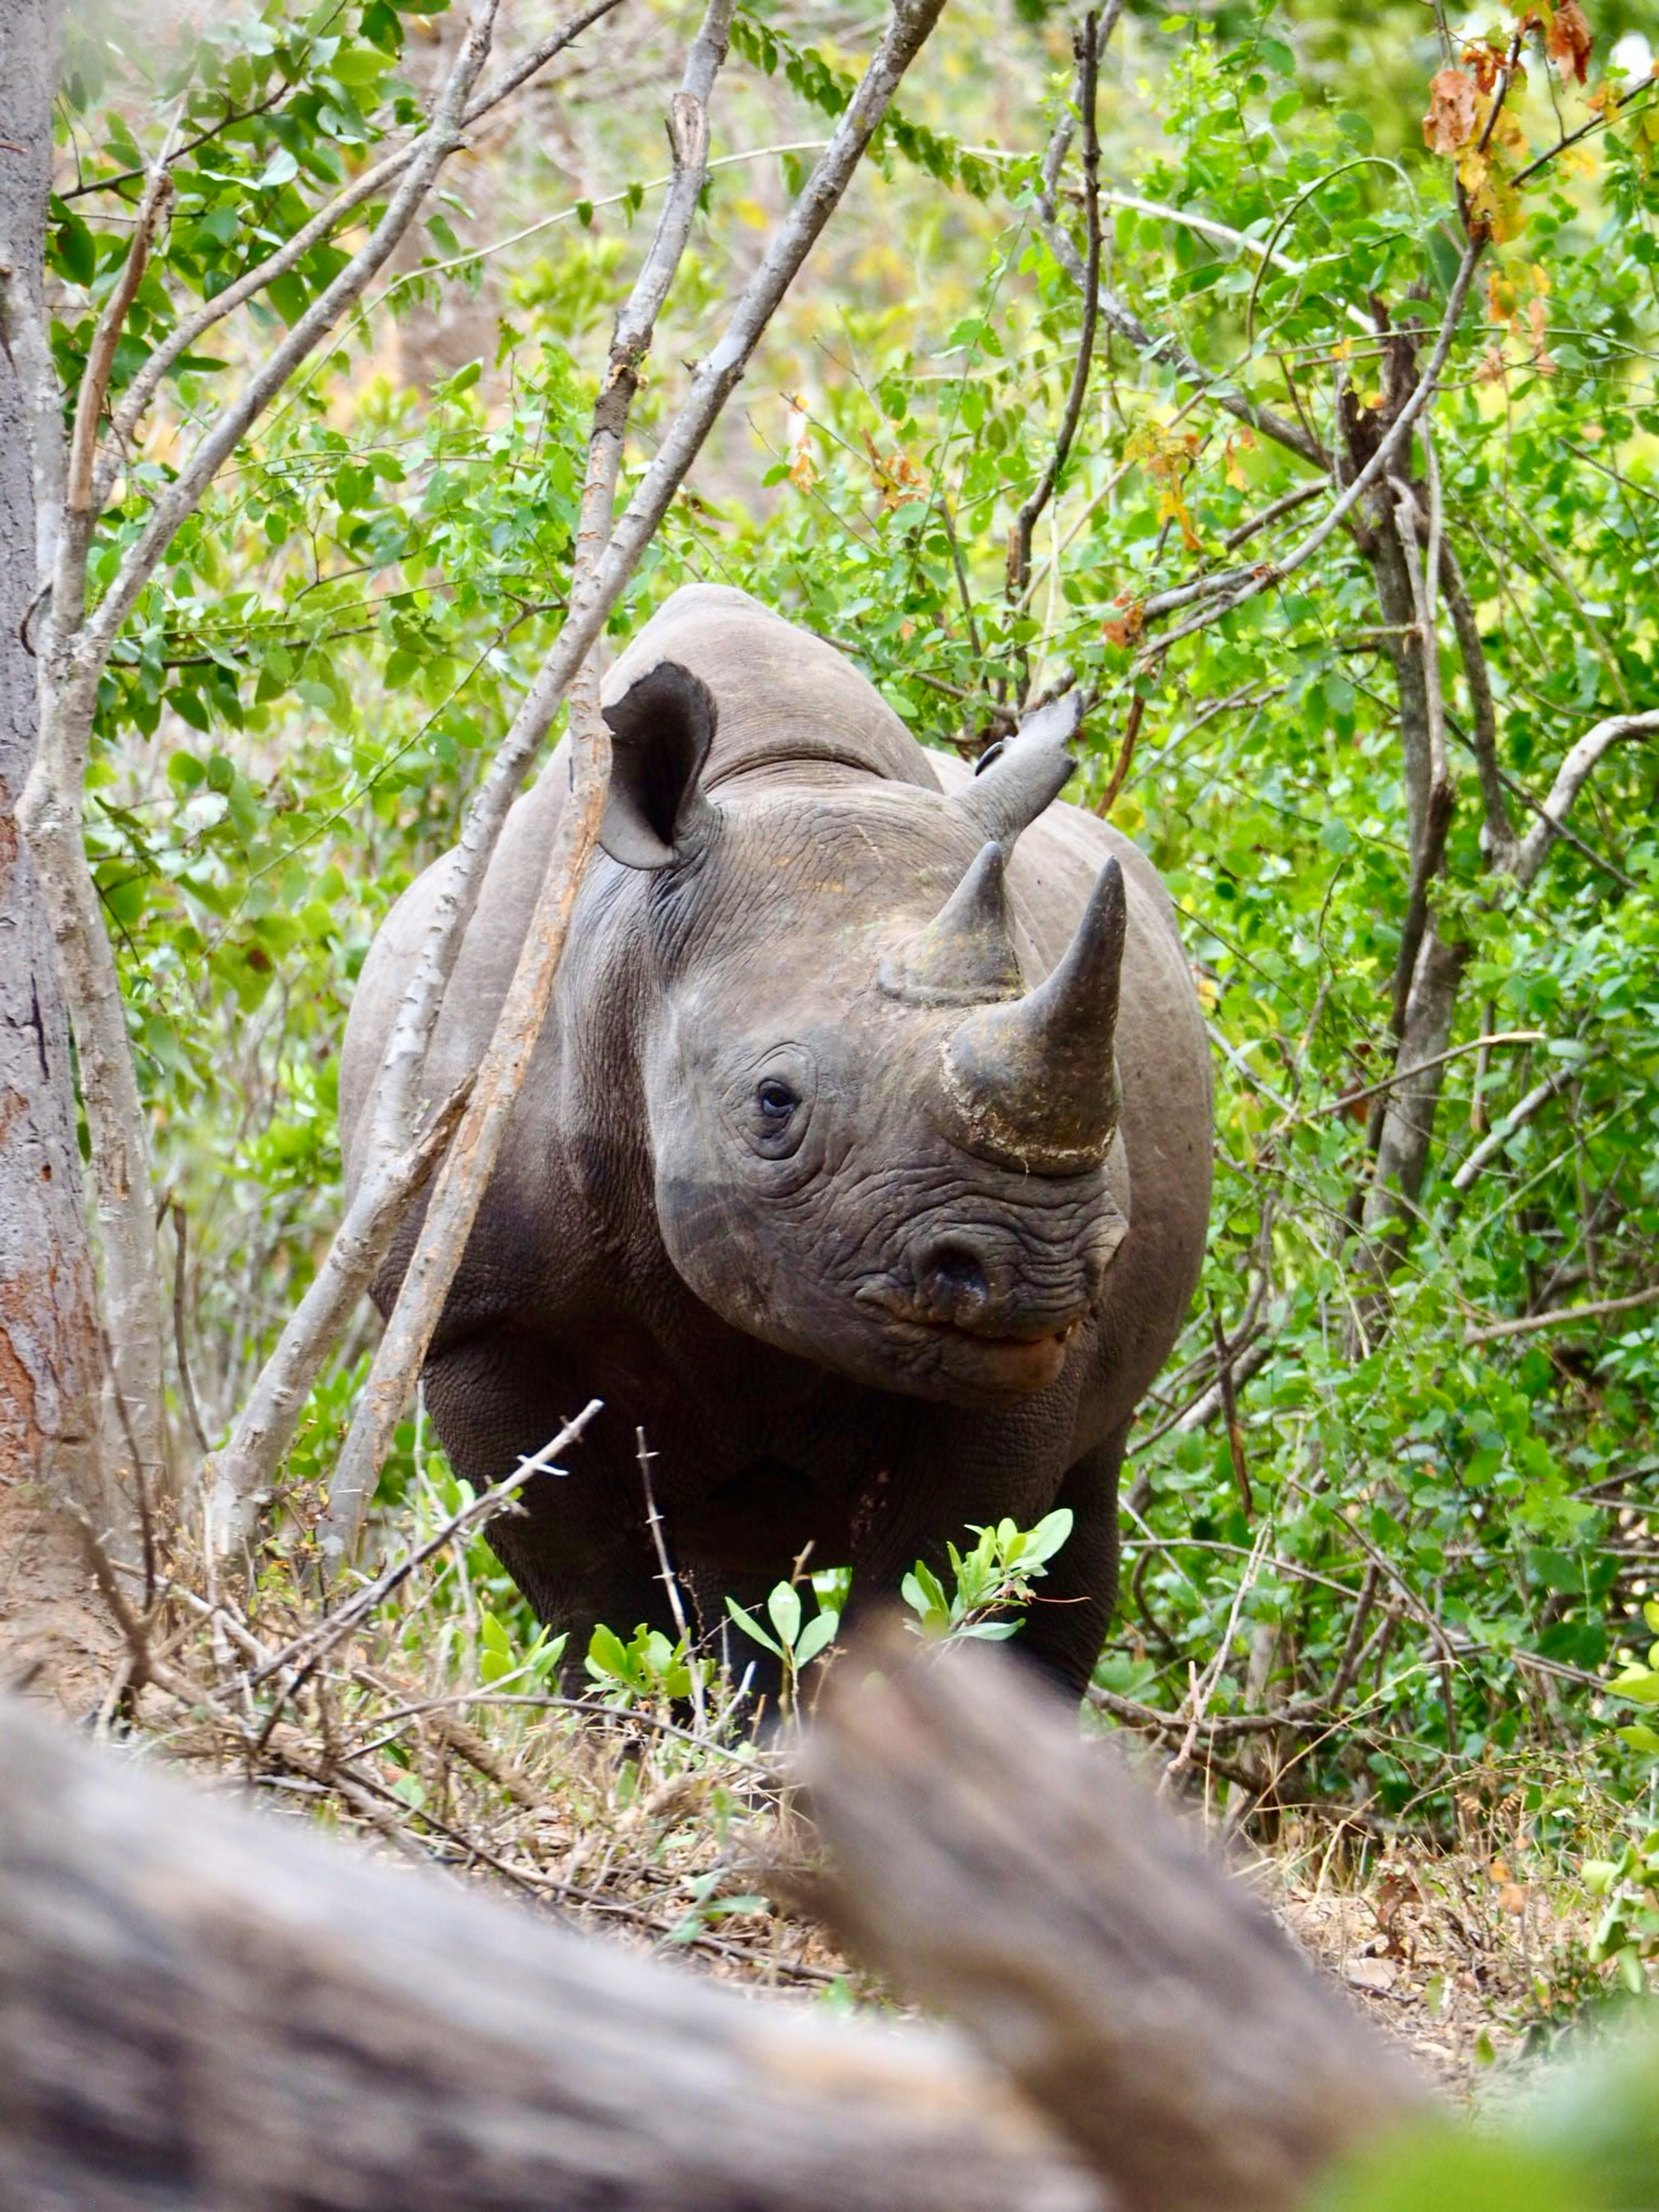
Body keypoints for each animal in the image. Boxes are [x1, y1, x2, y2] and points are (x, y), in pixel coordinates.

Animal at [340, 585, 1212, 1698]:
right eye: (773, 1102)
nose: (1033, 1268)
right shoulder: (475, 1316)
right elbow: (597, 1605)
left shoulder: (1025, 1365)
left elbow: (941, 1581)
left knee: (1075, 1509)